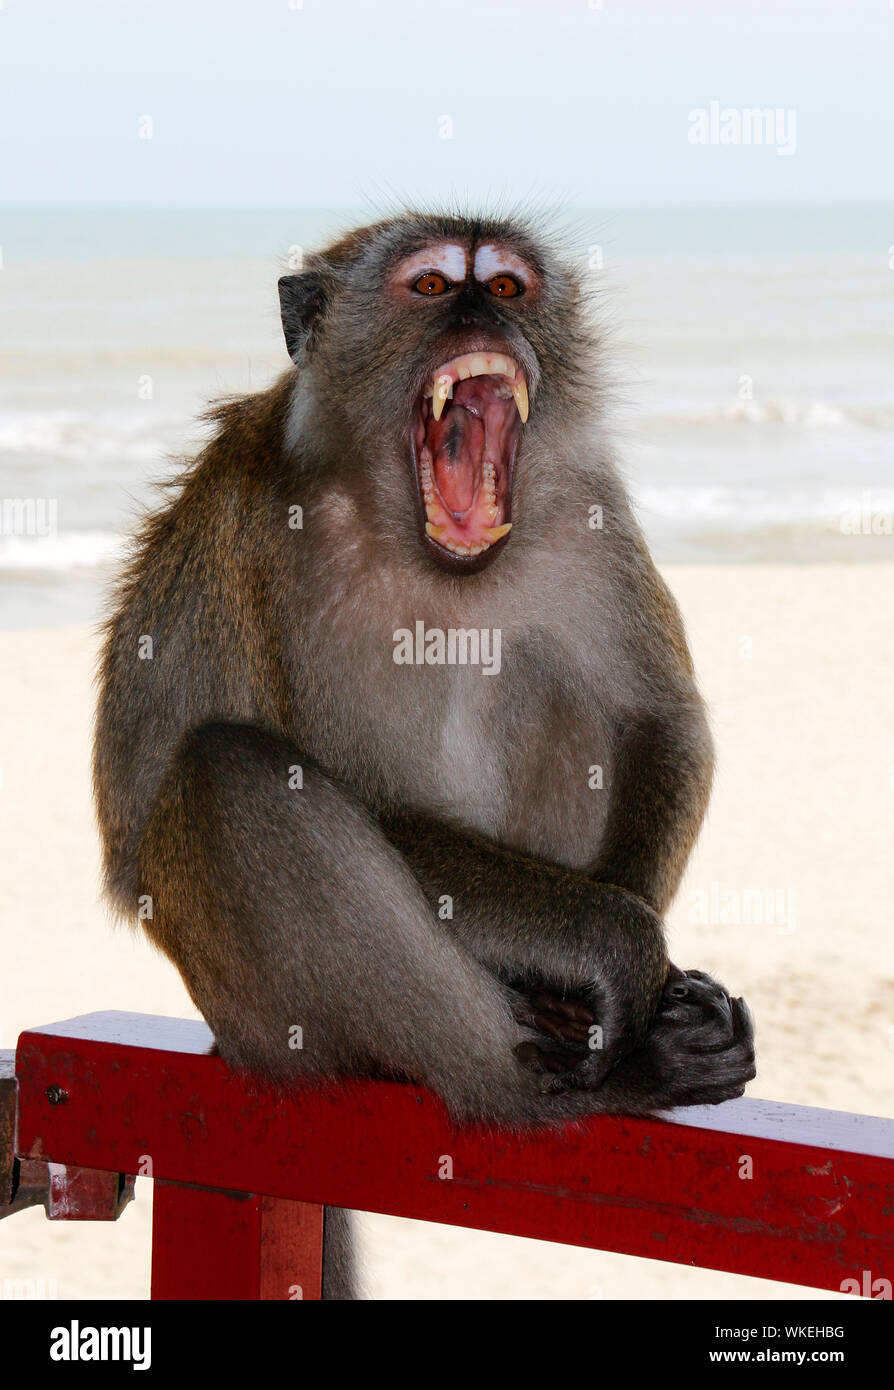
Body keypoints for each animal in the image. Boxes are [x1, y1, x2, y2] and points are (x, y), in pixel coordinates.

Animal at [93, 210, 755, 1300]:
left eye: (511, 284)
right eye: (436, 283)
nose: (482, 308)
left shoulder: (587, 507)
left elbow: (659, 723)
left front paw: (648, 990)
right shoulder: (296, 552)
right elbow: (364, 798)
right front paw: (620, 956)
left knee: (544, 674)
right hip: (264, 1018)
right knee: (230, 775)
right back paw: (570, 1086)